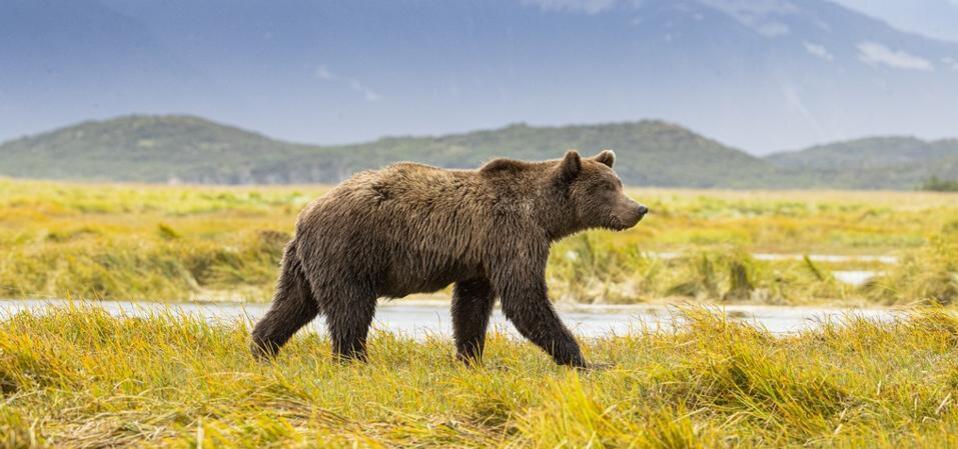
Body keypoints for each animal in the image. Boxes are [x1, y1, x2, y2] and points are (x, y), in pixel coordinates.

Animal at [250, 150, 648, 367]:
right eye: (607, 188)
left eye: (619, 183)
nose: (639, 208)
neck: (544, 215)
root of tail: (306, 212)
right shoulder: (512, 236)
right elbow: (525, 298)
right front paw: (584, 360)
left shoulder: (481, 257)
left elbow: (471, 306)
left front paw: (470, 358)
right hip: (349, 251)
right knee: (351, 308)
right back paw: (355, 360)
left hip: (304, 260)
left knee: (294, 302)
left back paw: (261, 347)